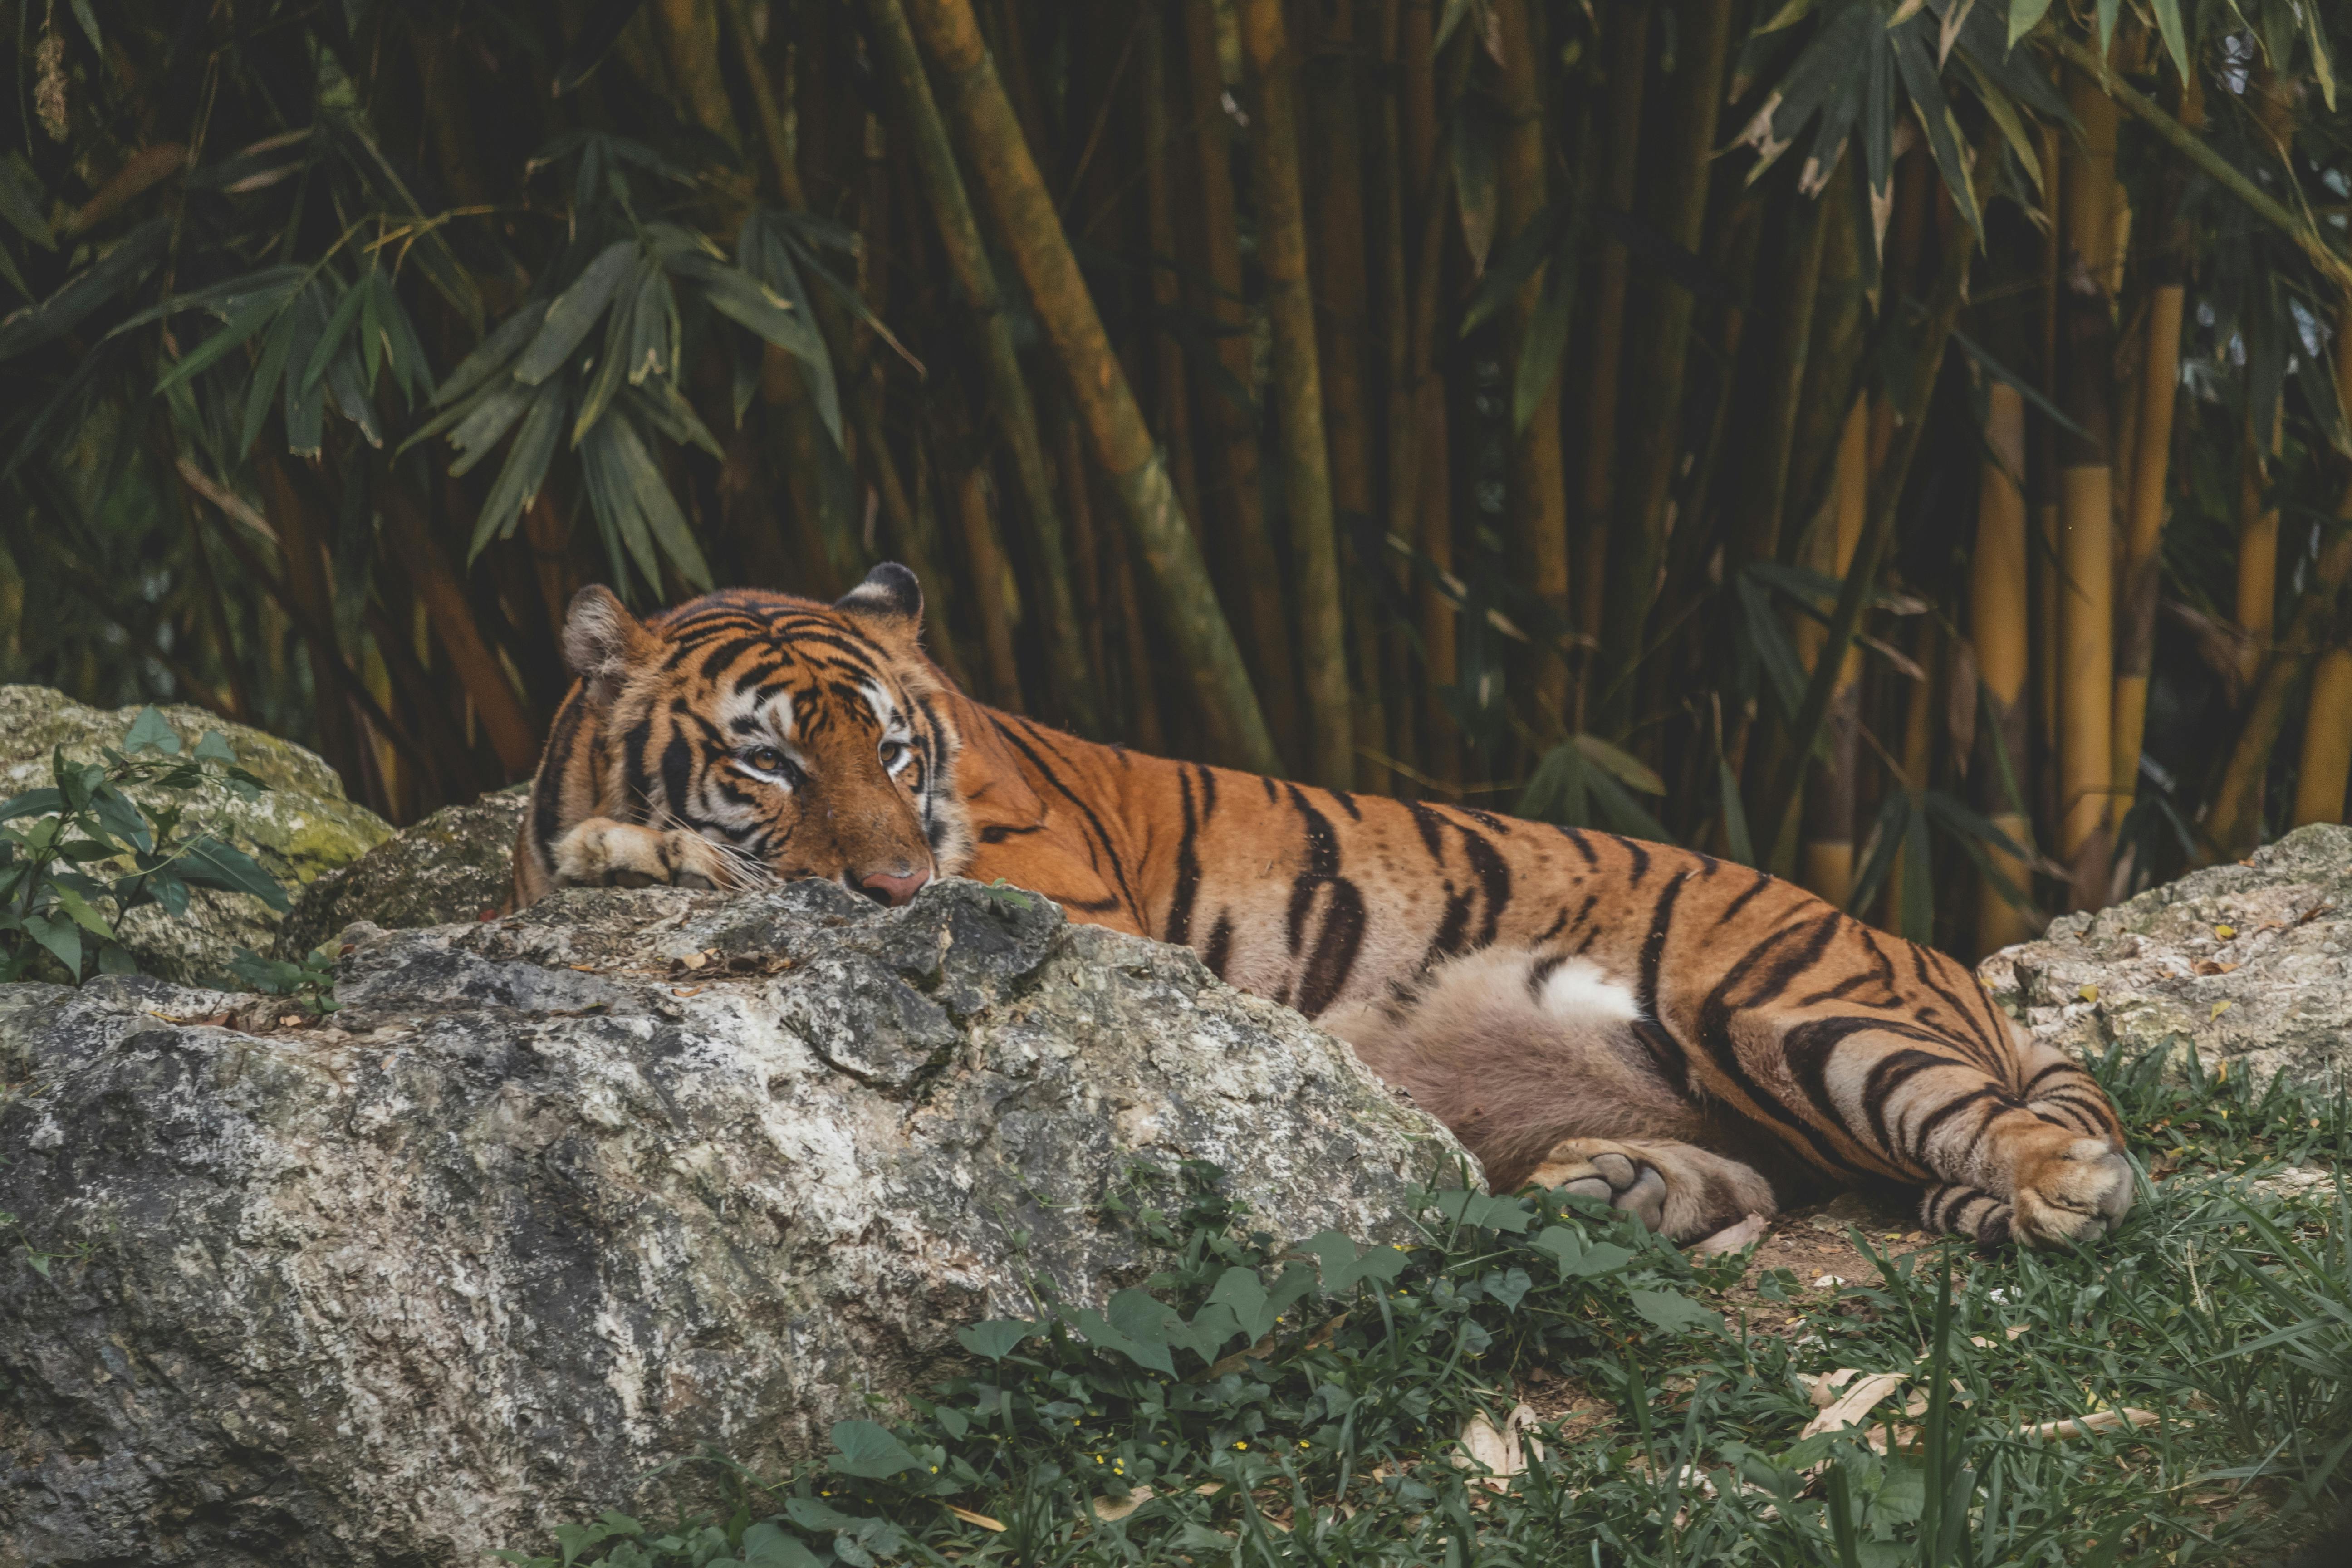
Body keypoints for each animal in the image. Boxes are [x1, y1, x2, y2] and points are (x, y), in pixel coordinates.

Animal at [513, 564, 2134, 1252]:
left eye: (895, 752)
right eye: (770, 757)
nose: (892, 887)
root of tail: (1936, 958)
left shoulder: (1087, 916)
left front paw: (635, 850)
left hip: (1782, 1006)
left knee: (2013, 1137)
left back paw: (2065, 1188)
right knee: (1758, 1180)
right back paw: (1614, 1193)